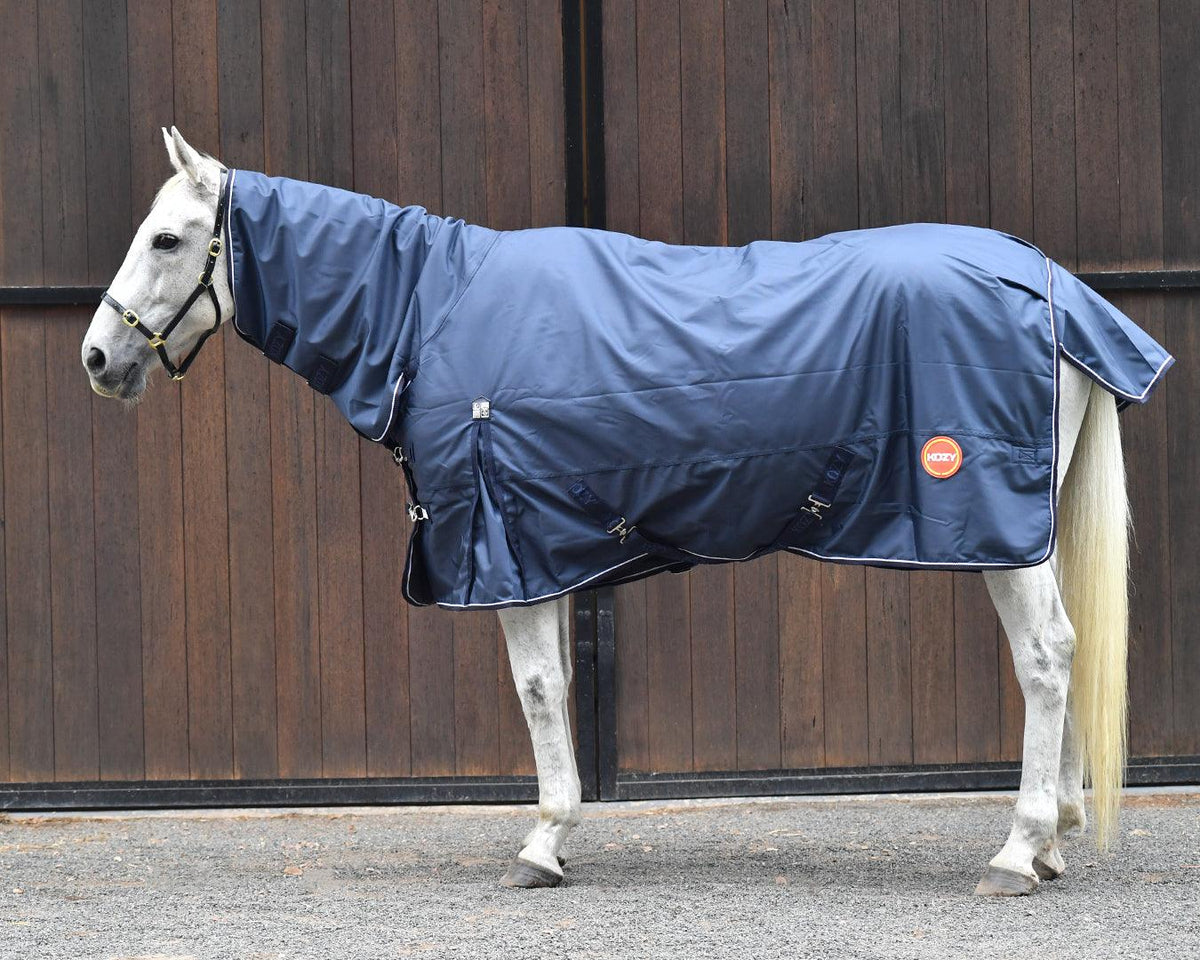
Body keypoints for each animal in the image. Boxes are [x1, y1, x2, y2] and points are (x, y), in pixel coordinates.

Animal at [82, 127, 1164, 896]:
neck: (435, 307)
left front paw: (542, 843)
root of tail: (1054, 287)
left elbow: (535, 692)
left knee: (1048, 657)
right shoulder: (547, 547)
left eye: (167, 239)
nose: (99, 358)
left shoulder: (506, 548)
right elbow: (559, 685)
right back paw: (1054, 842)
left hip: (995, 532)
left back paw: (1019, 852)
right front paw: (558, 835)